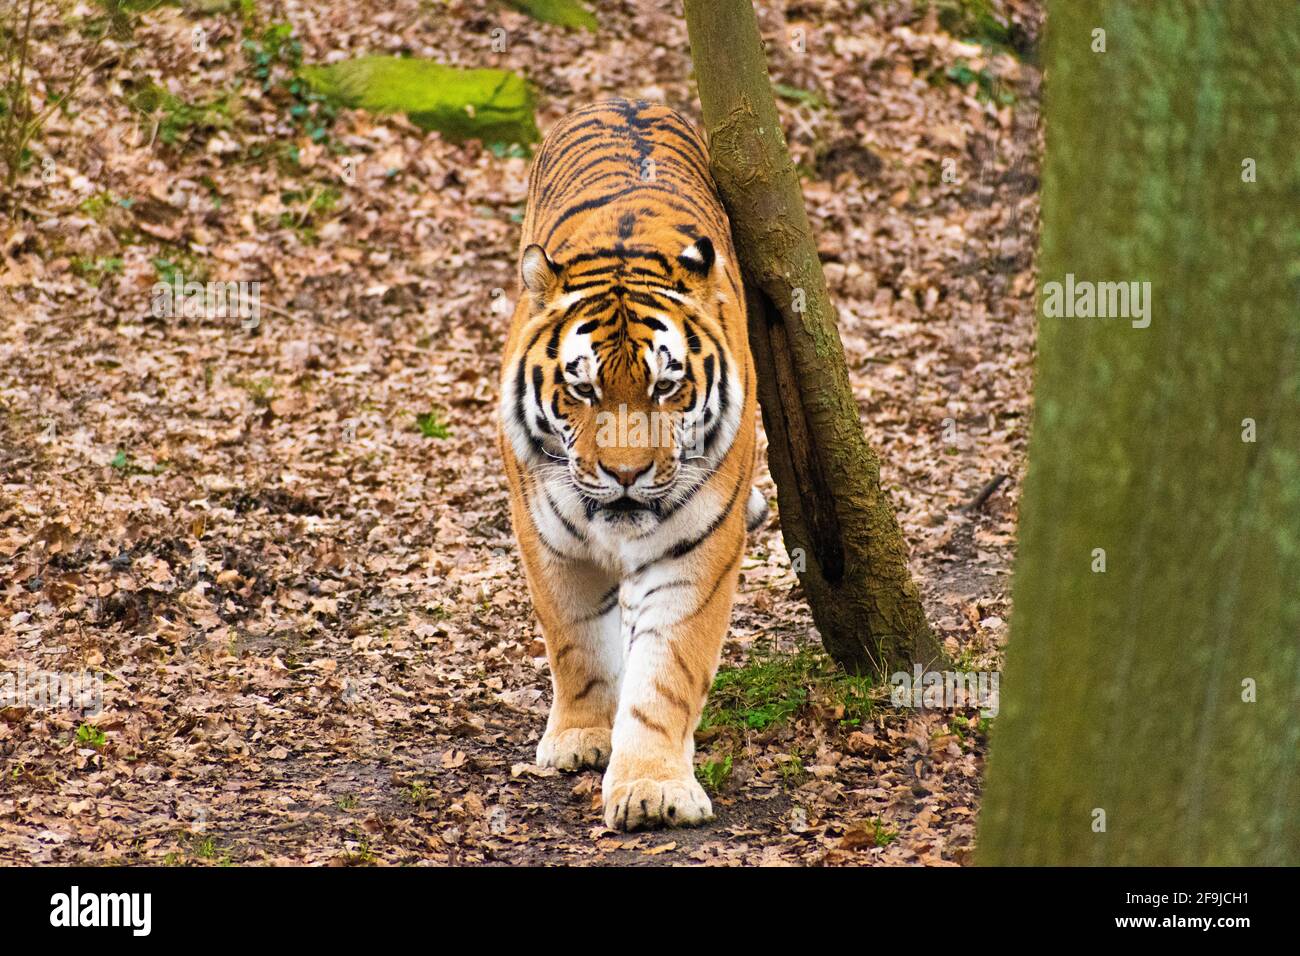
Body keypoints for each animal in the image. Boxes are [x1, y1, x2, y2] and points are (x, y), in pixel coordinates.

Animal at [497, 99, 767, 831]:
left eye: (666, 387)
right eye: (583, 388)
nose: (624, 475)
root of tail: (626, 99)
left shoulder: (693, 557)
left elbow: (665, 674)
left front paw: (651, 790)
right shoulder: (548, 542)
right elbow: (576, 646)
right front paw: (583, 737)